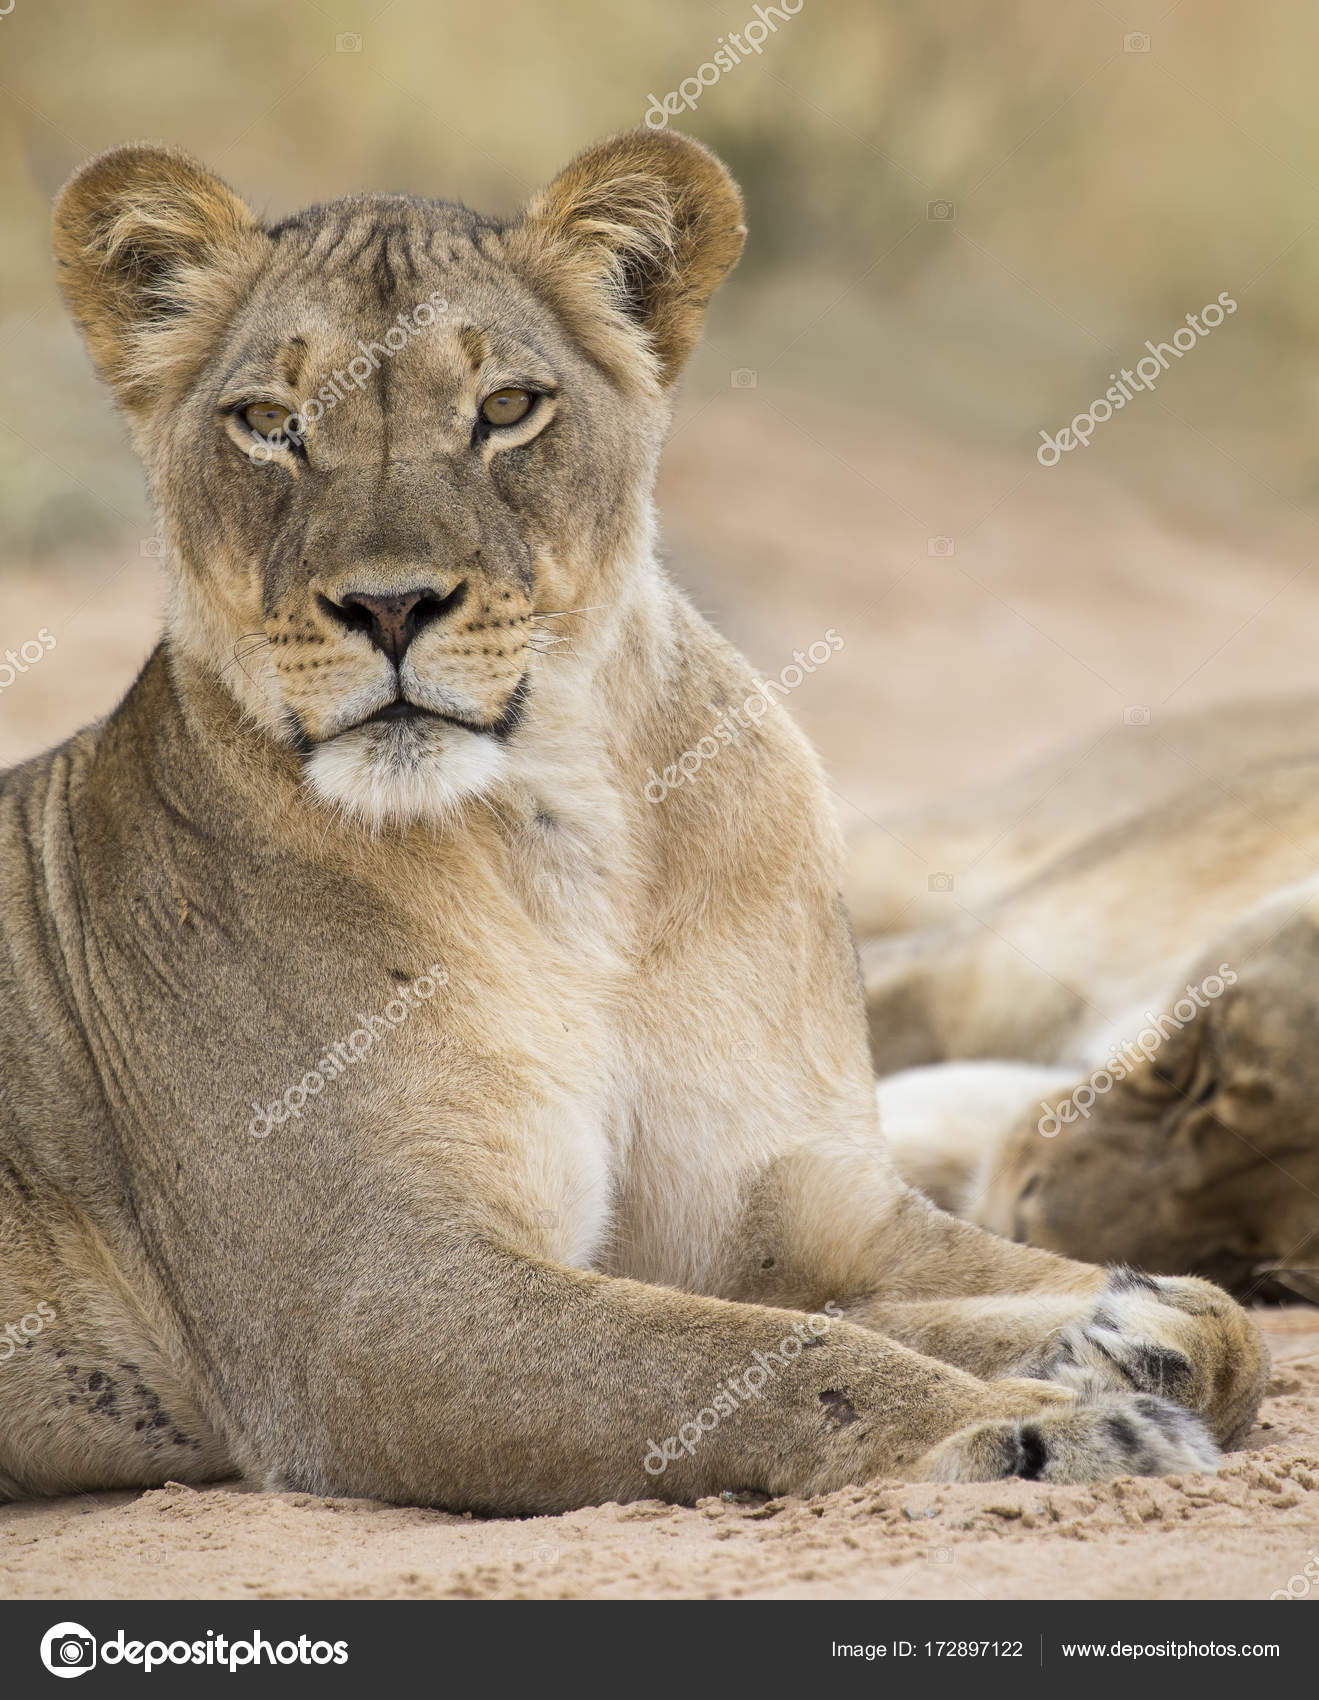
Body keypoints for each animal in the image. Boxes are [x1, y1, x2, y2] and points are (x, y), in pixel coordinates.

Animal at [0, 130, 1265, 1513]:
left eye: (506, 408)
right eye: (269, 425)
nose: (389, 607)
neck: (567, 833)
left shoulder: (782, 1206)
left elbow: (1214, 1324)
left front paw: (1127, 1330)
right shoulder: (363, 1306)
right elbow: (765, 1353)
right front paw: (1033, 1428)